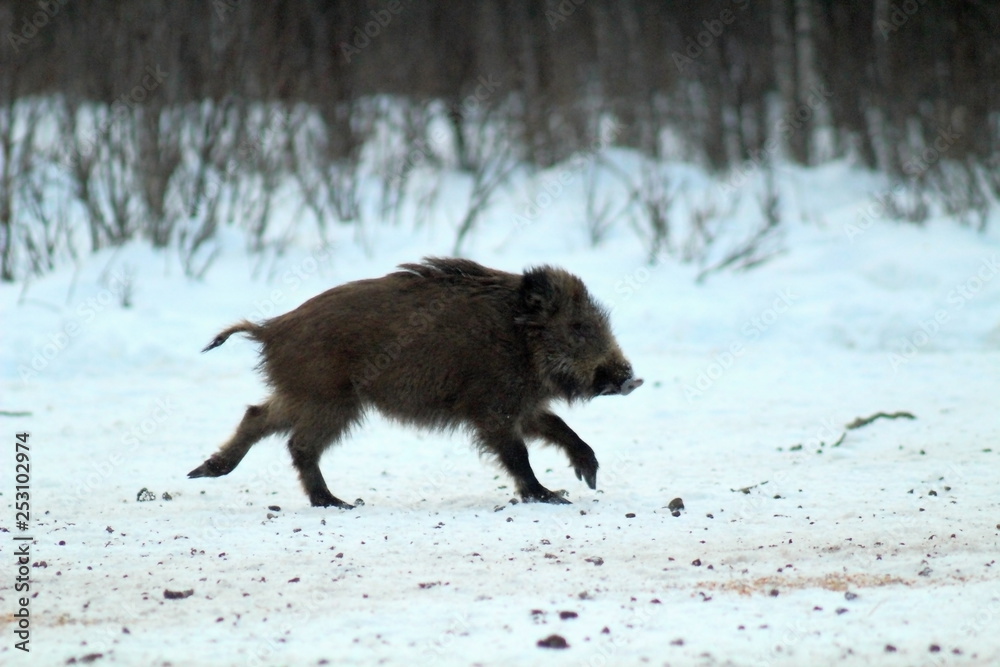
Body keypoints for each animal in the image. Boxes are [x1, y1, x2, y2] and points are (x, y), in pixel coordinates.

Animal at [188, 257, 642, 507]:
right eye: (579, 327)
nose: (631, 379)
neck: (518, 339)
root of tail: (269, 329)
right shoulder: (492, 409)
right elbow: (518, 455)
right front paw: (552, 495)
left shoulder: (522, 406)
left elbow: (560, 428)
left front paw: (589, 478)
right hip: (331, 401)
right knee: (298, 444)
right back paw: (337, 503)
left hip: (307, 395)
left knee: (258, 416)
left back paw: (203, 472)